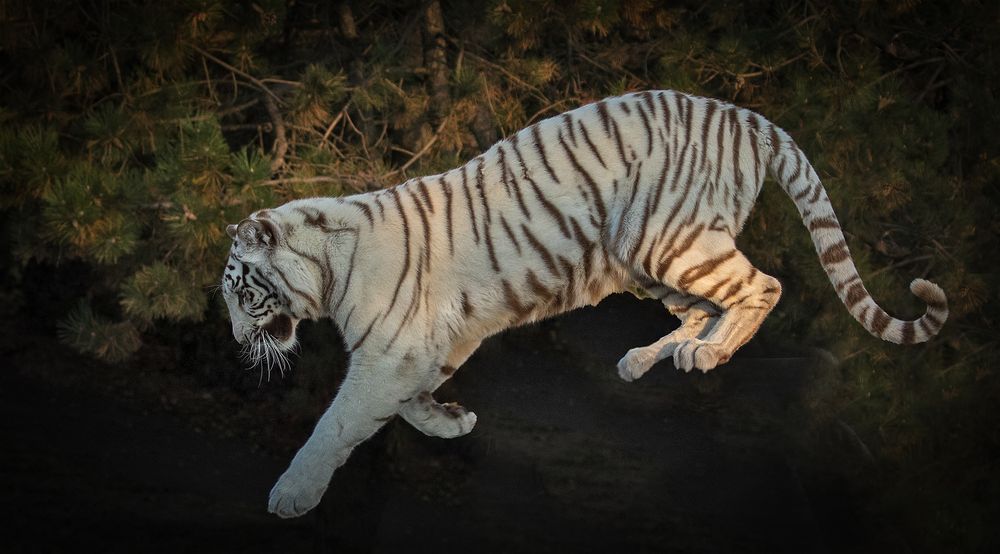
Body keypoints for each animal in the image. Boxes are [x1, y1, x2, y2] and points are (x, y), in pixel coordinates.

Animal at [221, 90, 948, 518]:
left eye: (240, 293)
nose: (233, 341)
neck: (326, 272)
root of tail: (742, 115)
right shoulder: (436, 341)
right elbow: (406, 404)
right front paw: (452, 422)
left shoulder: (388, 353)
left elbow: (338, 421)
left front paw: (291, 494)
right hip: (645, 260)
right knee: (703, 306)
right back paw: (652, 358)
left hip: (668, 239)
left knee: (762, 286)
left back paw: (708, 354)